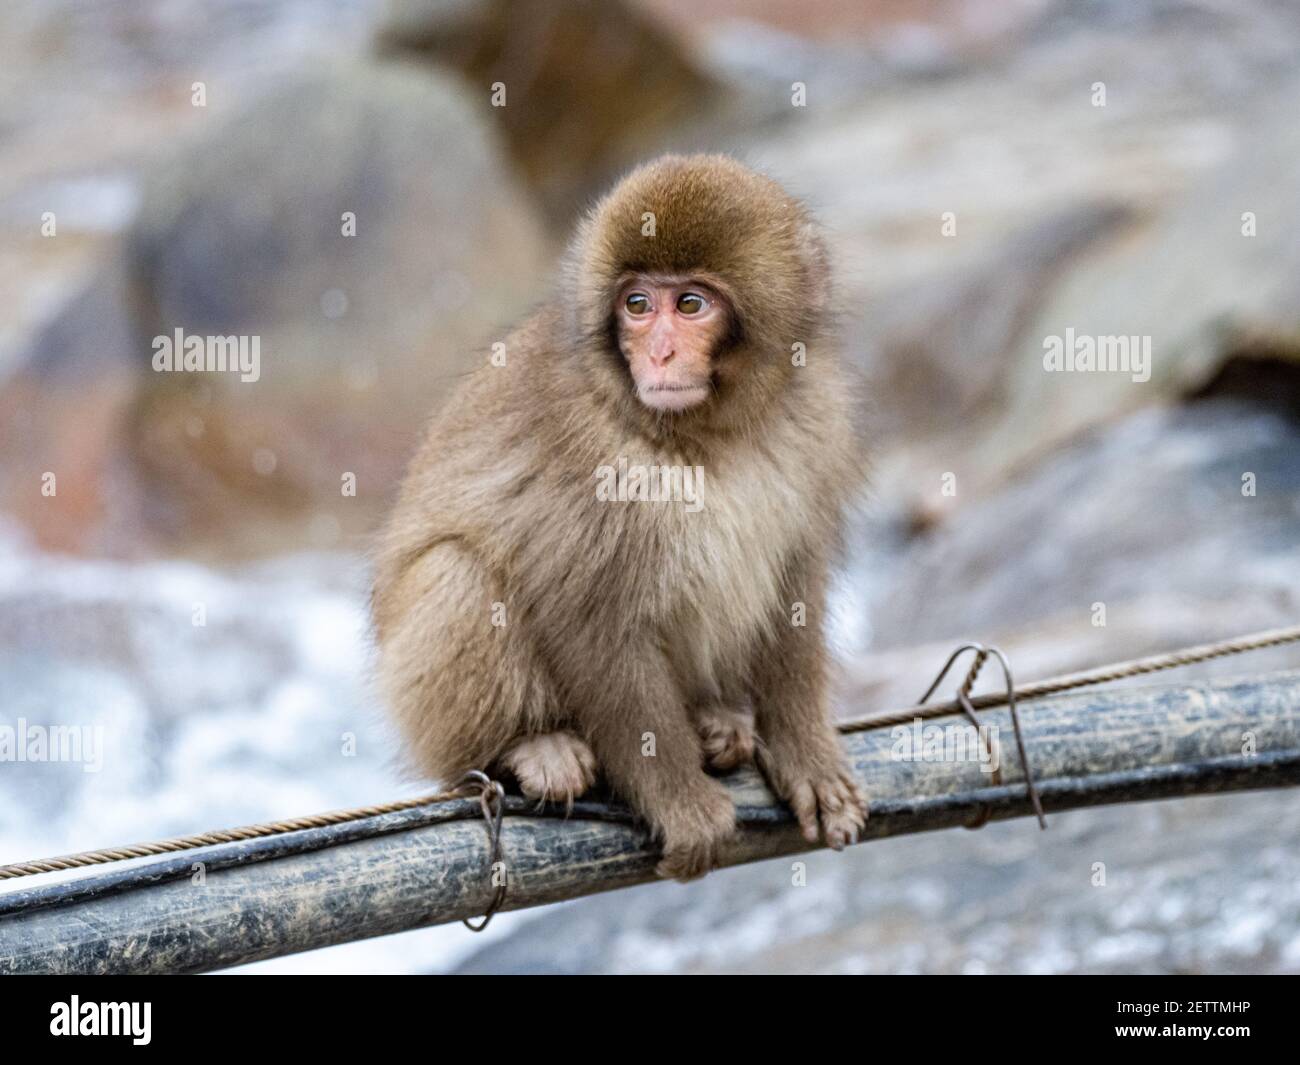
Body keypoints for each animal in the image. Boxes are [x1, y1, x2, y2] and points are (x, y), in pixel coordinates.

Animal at [371, 154, 867, 880]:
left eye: (690, 304)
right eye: (637, 305)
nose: (658, 354)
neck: (699, 434)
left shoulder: (819, 420)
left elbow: (794, 593)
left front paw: (806, 753)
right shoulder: (588, 460)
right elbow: (594, 625)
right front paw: (683, 807)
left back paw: (717, 722)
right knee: (457, 569)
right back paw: (529, 746)